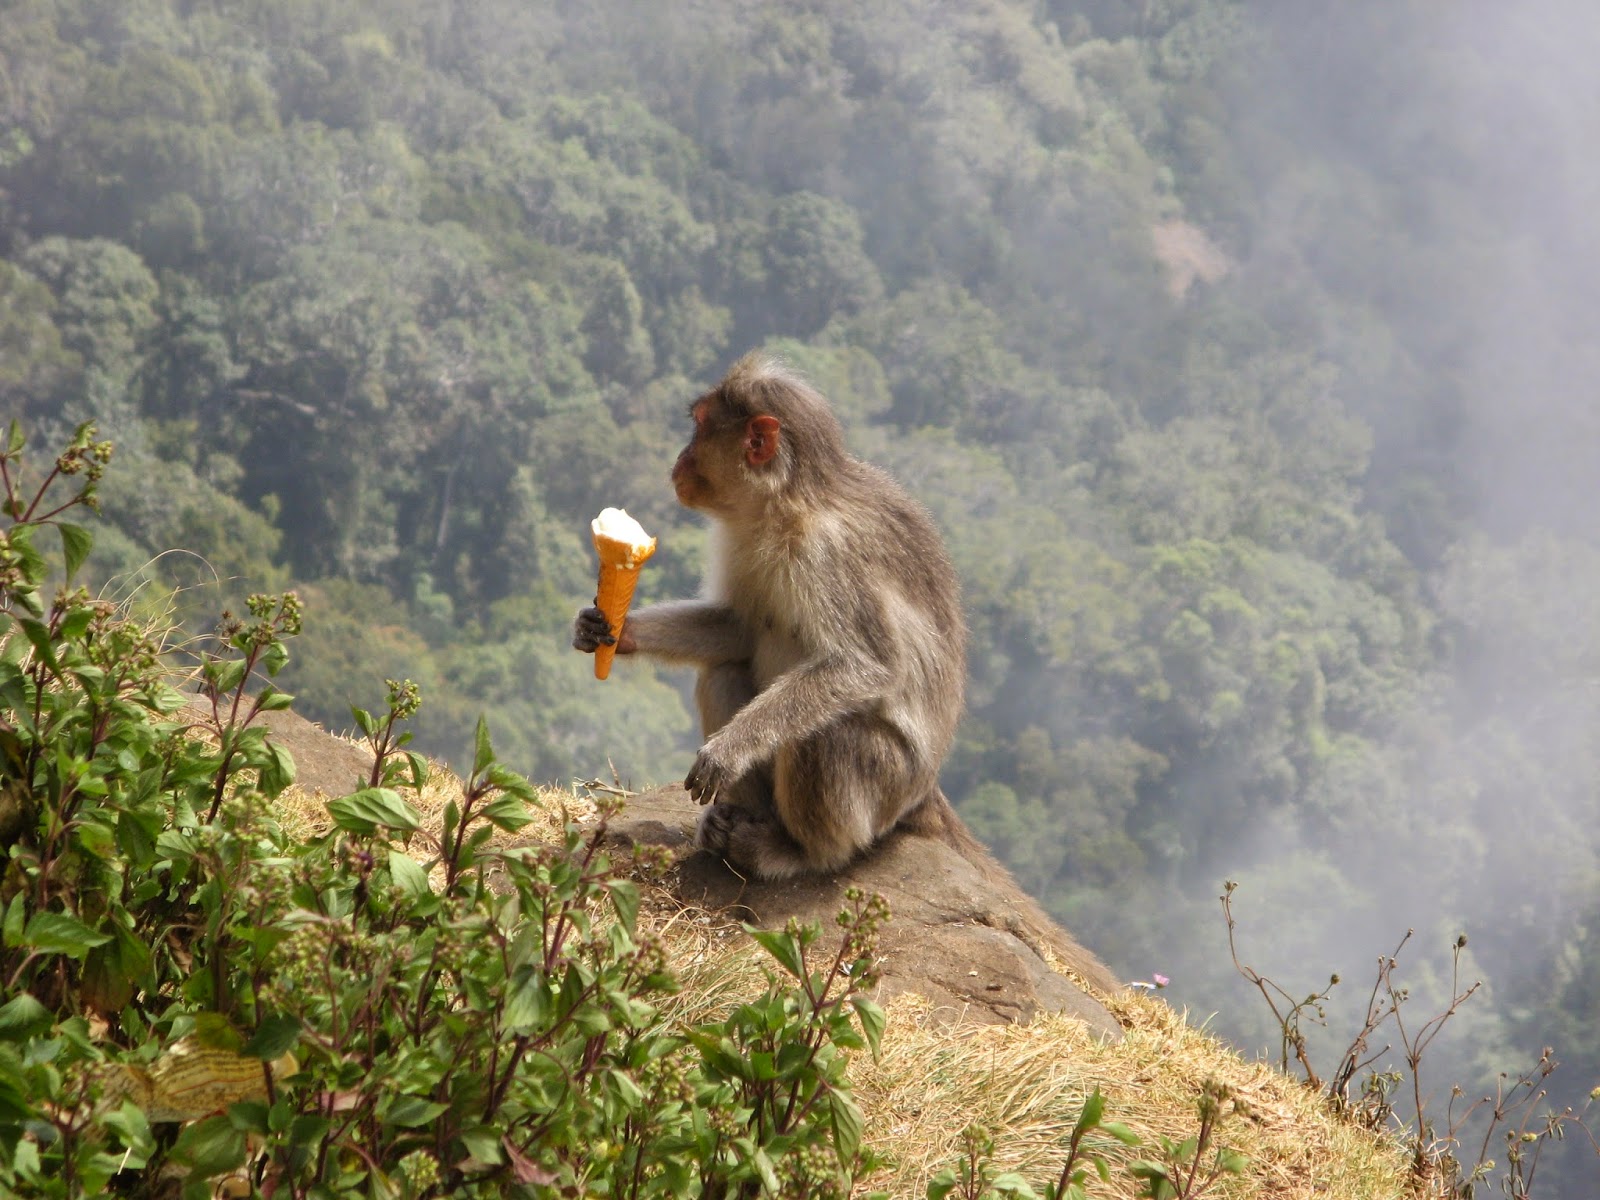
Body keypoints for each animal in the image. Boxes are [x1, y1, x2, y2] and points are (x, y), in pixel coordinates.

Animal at [572, 351, 985, 881]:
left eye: (699, 427)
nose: (679, 457)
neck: (781, 505)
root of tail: (925, 791)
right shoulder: (742, 536)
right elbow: (738, 629)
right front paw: (616, 630)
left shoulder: (826, 551)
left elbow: (863, 665)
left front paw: (728, 750)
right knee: (722, 674)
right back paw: (737, 821)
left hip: (886, 788)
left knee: (823, 735)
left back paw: (800, 852)